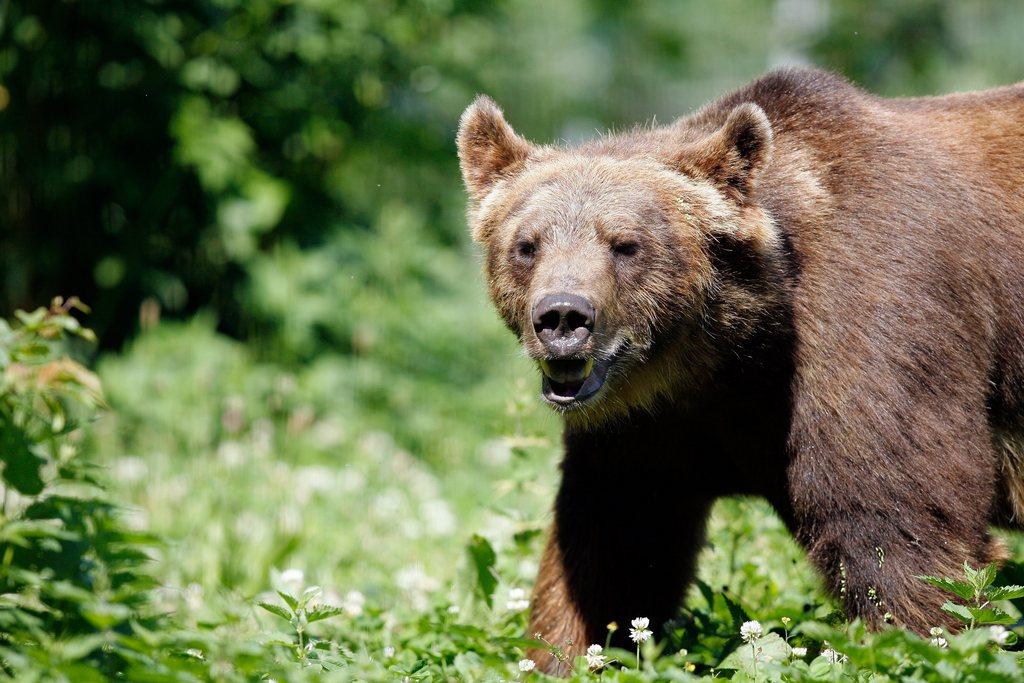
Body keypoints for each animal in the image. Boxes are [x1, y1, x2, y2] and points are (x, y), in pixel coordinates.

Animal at [457, 67, 1024, 675]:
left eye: (626, 244)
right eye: (527, 245)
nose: (562, 317)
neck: (727, 358)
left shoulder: (878, 325)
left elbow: (898, 529)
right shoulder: (648, 428)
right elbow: (615, 544)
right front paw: (565, 655)